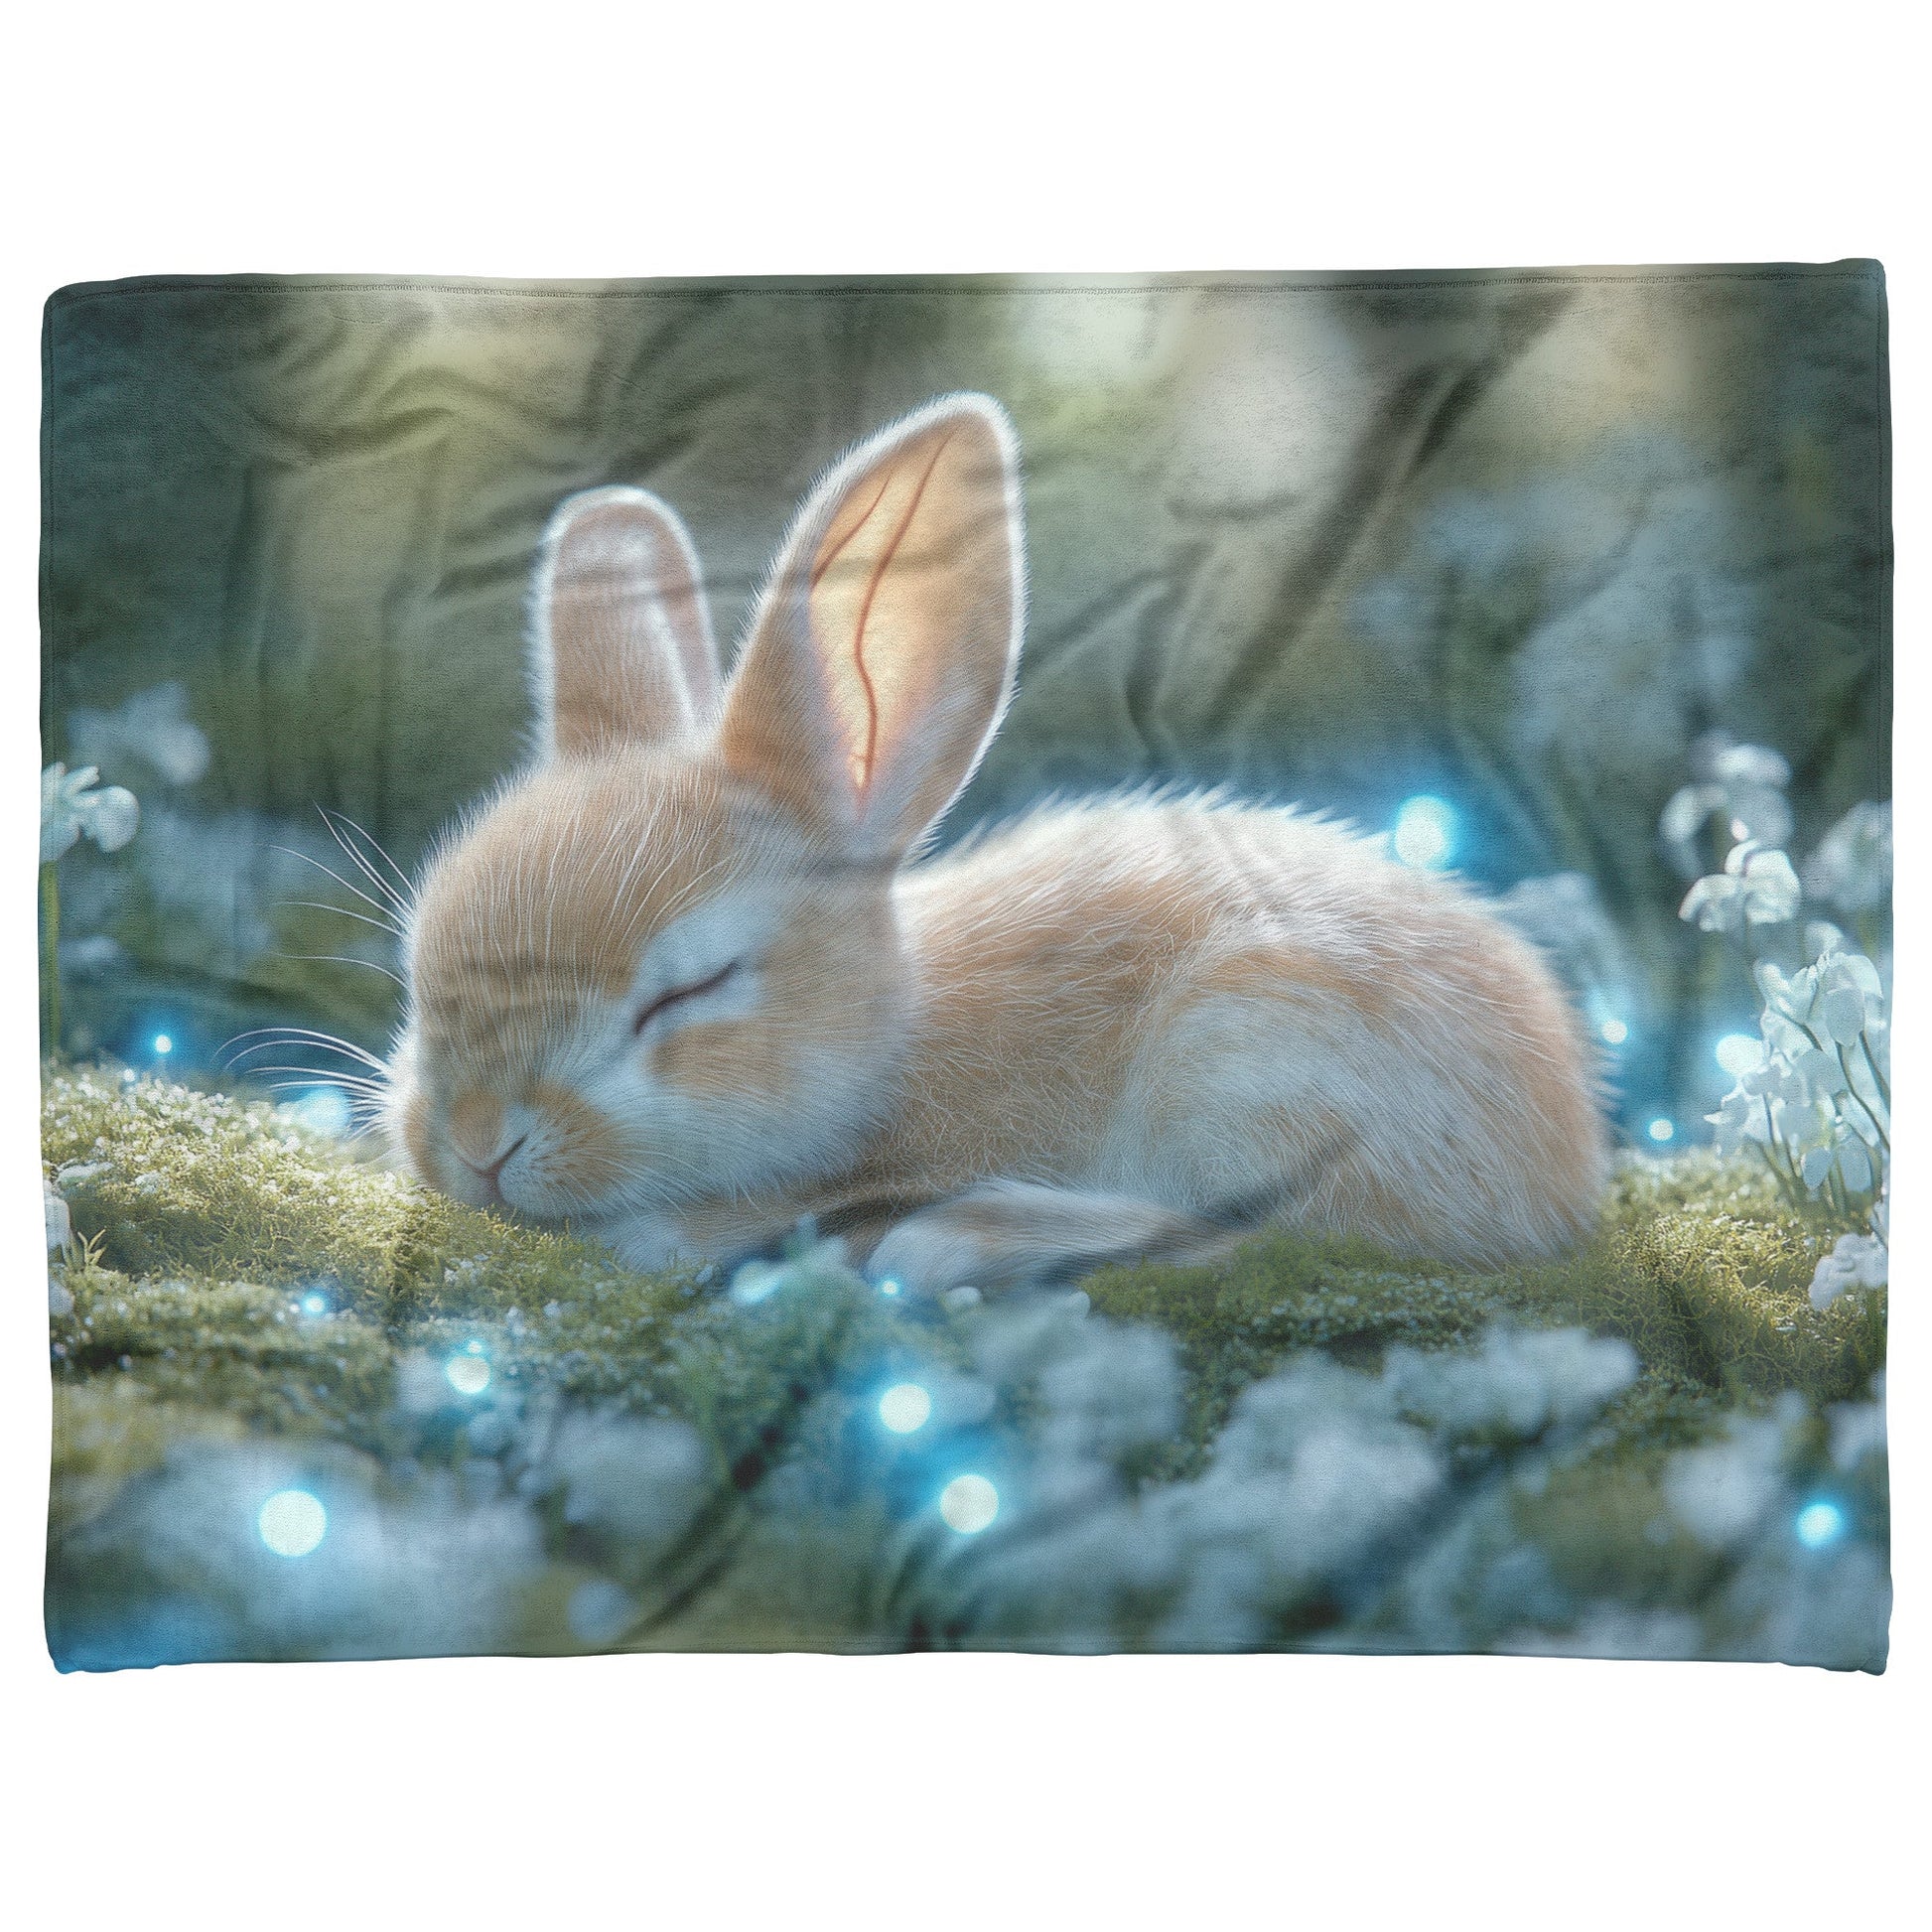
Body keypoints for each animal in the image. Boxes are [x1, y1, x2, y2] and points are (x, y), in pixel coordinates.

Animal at [384, 393, 1609, 1295]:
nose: (478, 1142)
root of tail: (1564, 1165)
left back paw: (957, 1239)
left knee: (1284, 1233)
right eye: (415, 973)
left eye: (691, 991)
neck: (896, 1037)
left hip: (1250, 1049)